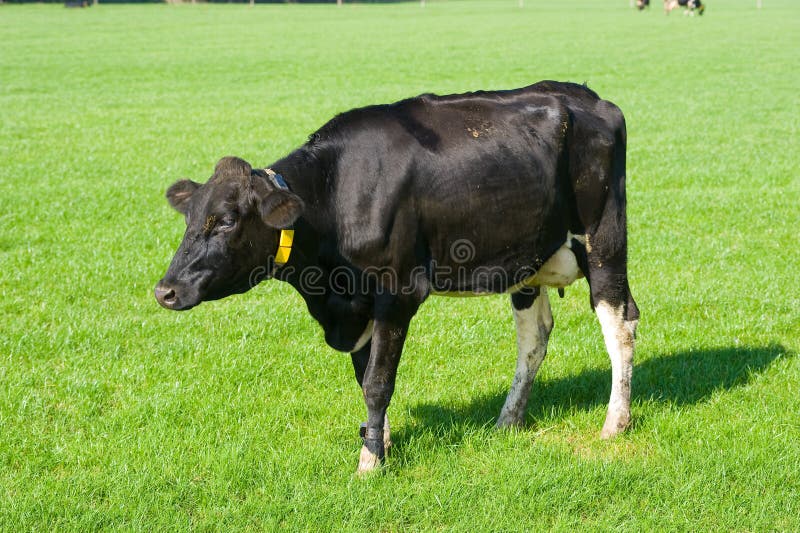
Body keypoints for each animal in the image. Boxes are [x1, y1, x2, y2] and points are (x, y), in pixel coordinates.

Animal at [154, 81, 640, 475]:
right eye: (190, 217)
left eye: (227, 220)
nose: (165, 291)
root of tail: (588, 98)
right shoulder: (357, 307)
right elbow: (364, 375)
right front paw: (379, 441)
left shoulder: (397, 292)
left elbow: (377, 382)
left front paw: (370, 463)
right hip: (529, 258)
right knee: (535, 337)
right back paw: (508, 419)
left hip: (604, 238)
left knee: (620, 324)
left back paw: (615, 422)